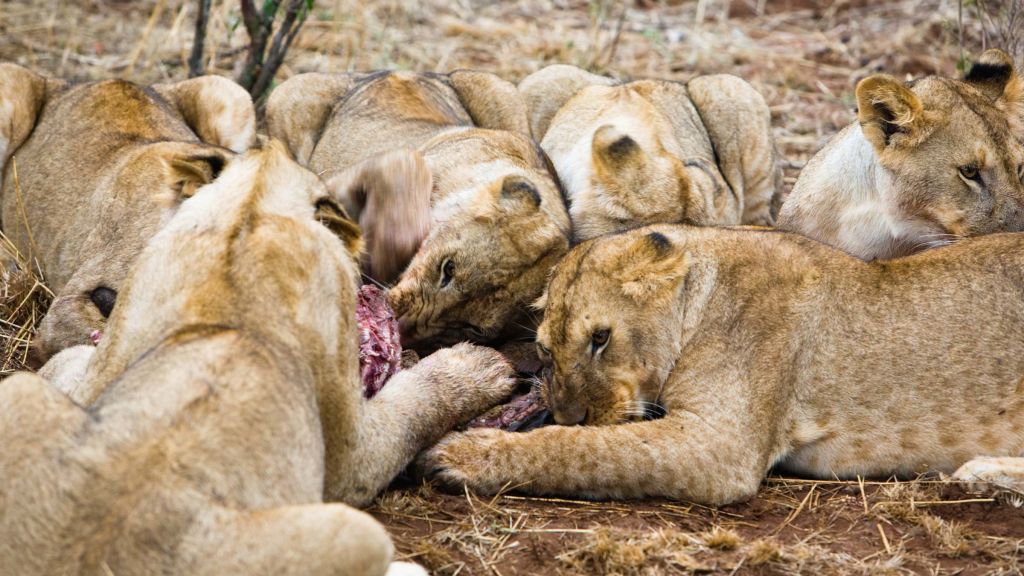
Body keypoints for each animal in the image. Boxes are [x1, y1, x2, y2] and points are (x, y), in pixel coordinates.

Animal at [2, 141, 516, 575]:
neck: (248, 218)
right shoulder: (350, 459)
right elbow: (412, 408)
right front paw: (480, 367)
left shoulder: (110, 351)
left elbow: (72, 363)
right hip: (351, 530)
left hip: (18, 391)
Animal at [266, 70, 572, 349]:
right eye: (448, 268)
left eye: (469, 327)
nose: (400, 329)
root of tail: (405, 72)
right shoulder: (351, 174)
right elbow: (408, 165)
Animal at [418, 224, 1024, 505]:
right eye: (545, 349)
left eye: (601, 338)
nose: (569, 414)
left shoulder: (719, 445)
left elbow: (588, 450)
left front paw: (464, 454)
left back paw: (980, 473)